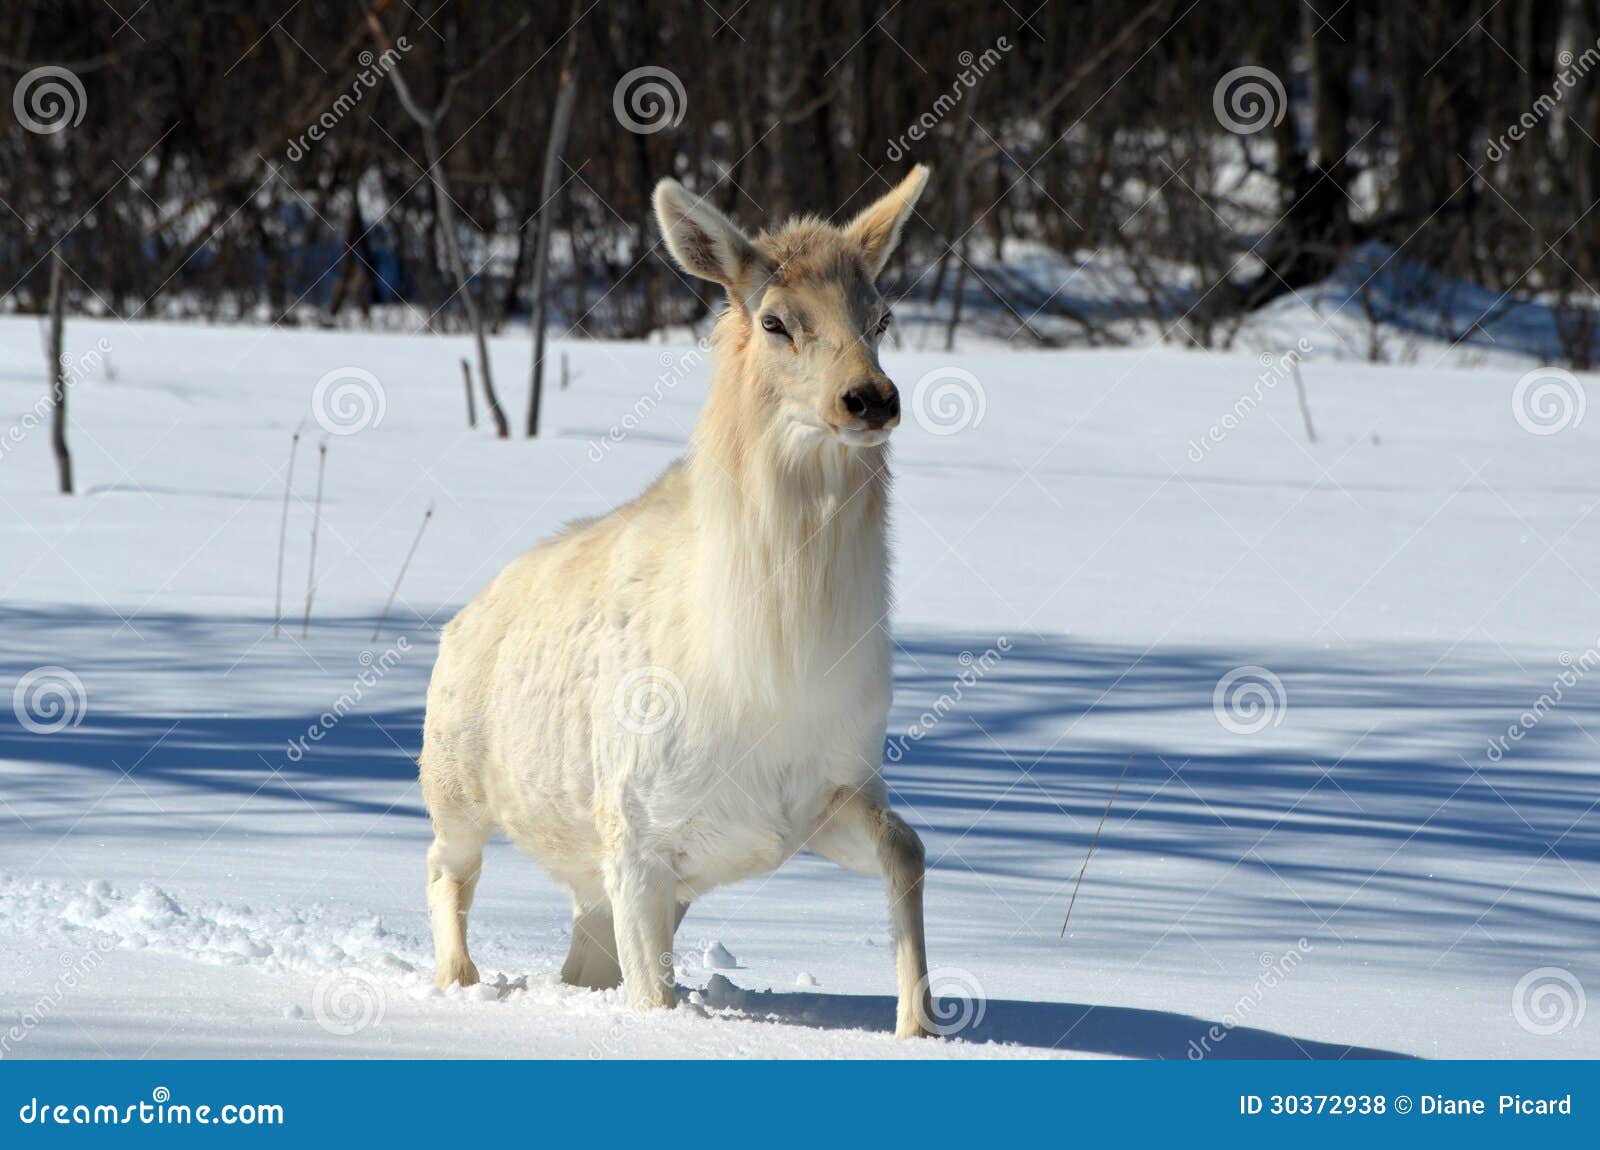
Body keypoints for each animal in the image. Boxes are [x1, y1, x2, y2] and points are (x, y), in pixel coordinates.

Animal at [419, 166, 935, 1038]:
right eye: (775, 320)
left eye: (882, 315)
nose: (870, 398)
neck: (772, 666)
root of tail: (462, 618)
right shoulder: (634, 829)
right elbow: (653, 999)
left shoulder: (827, 795)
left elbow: (909, 848)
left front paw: (918, 1025)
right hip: (451, 779)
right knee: (447, 866)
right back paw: (459, 978)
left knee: (580, 951)